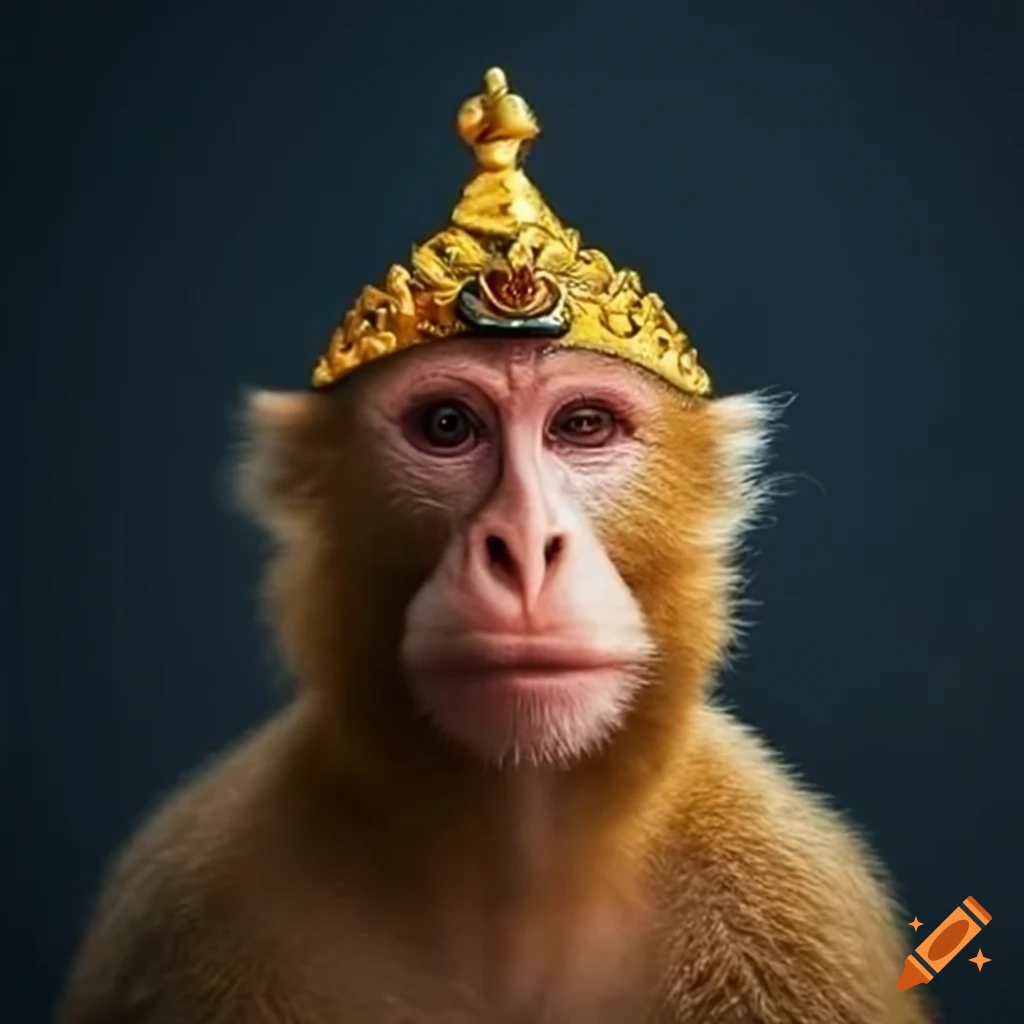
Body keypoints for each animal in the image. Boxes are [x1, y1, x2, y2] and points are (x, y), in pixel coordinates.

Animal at [60, 335, 934, 1024]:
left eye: (582, 426)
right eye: (448, 425)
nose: (523, 547)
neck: (513, 894)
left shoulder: (784, 899)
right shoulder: (196, 902)